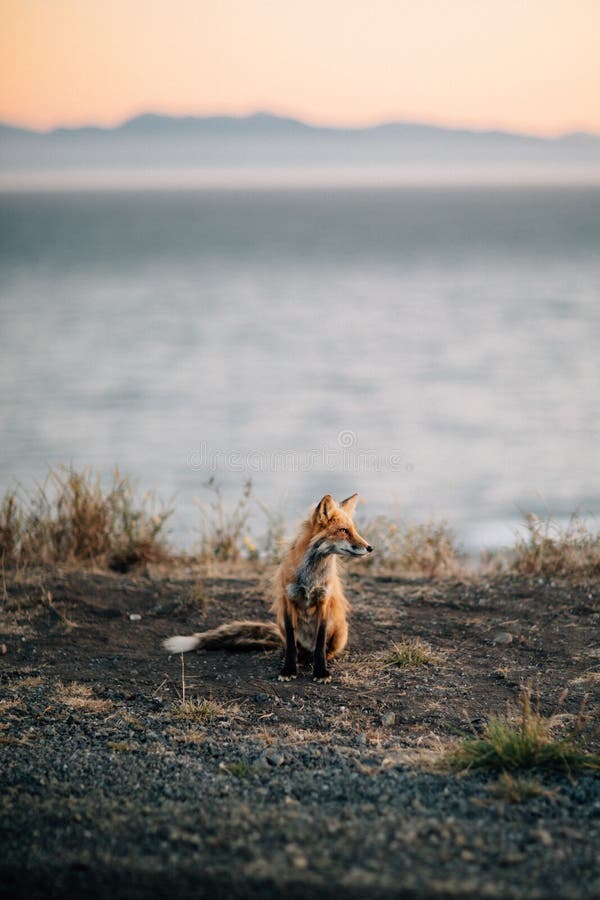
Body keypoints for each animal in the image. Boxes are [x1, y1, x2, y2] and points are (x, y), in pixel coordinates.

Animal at [163, 492, 373, 682]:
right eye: (344, 530)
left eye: (354, 530)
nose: (370, 548)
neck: (310, 577)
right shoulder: (288, 600)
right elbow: (291, 644)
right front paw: (289, 669)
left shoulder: (323, 600)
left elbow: (320, 644)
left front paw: (320, 671)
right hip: (280, 623)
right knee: (292, 646)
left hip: (340, 630)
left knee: (323, 650)